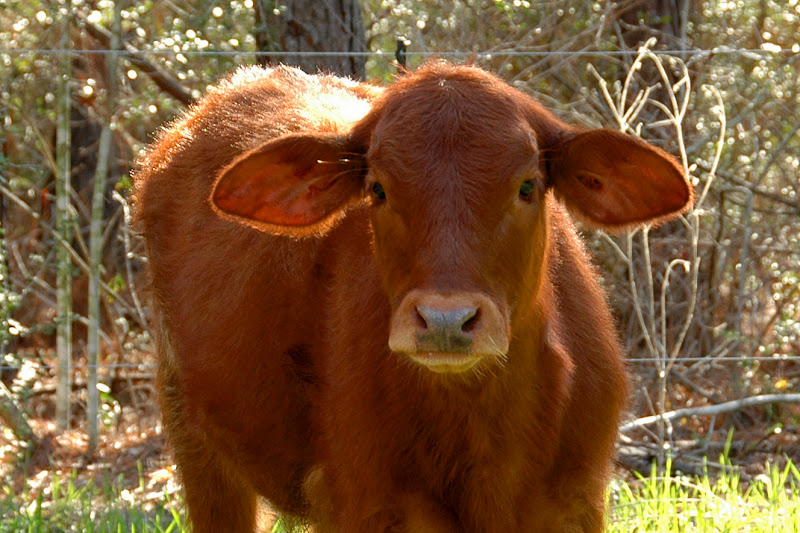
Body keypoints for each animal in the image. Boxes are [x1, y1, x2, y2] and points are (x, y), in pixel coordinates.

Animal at [135, 62, 692, 532]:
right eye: (378, 189)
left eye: (527, 186)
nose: (446, 320)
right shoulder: (371, 504)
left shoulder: (575, 502)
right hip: (195, 441)